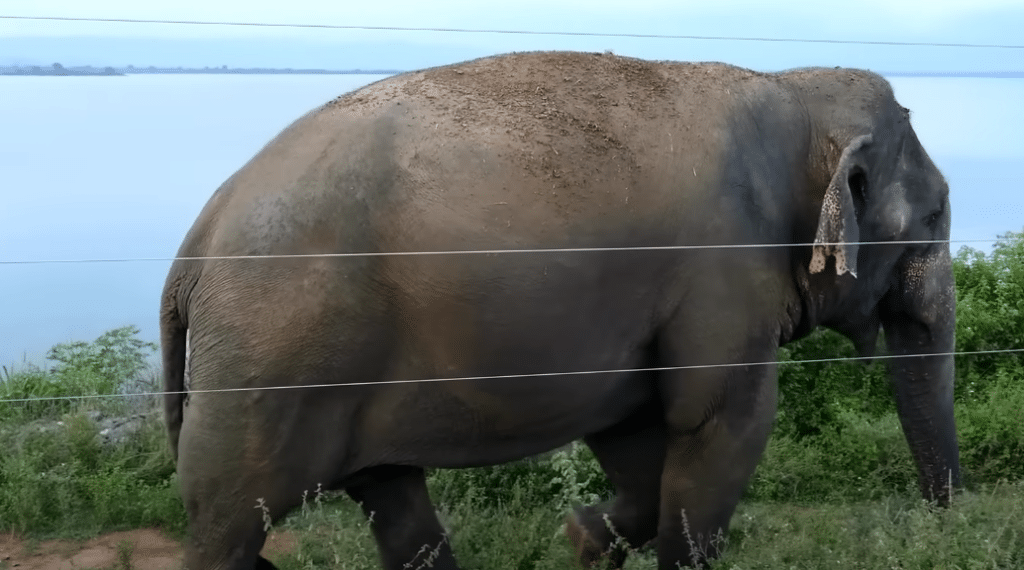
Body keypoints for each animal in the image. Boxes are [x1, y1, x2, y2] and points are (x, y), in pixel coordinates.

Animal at [160, 50, 960, 570]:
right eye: (935, 215)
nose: (942, 529)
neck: (794, 96)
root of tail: (194, 245)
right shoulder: (726, 269)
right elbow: (719, 421)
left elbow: (635, 436)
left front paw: (580, 540)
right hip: (270, 364)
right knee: (230, 525)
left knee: (394, 500)